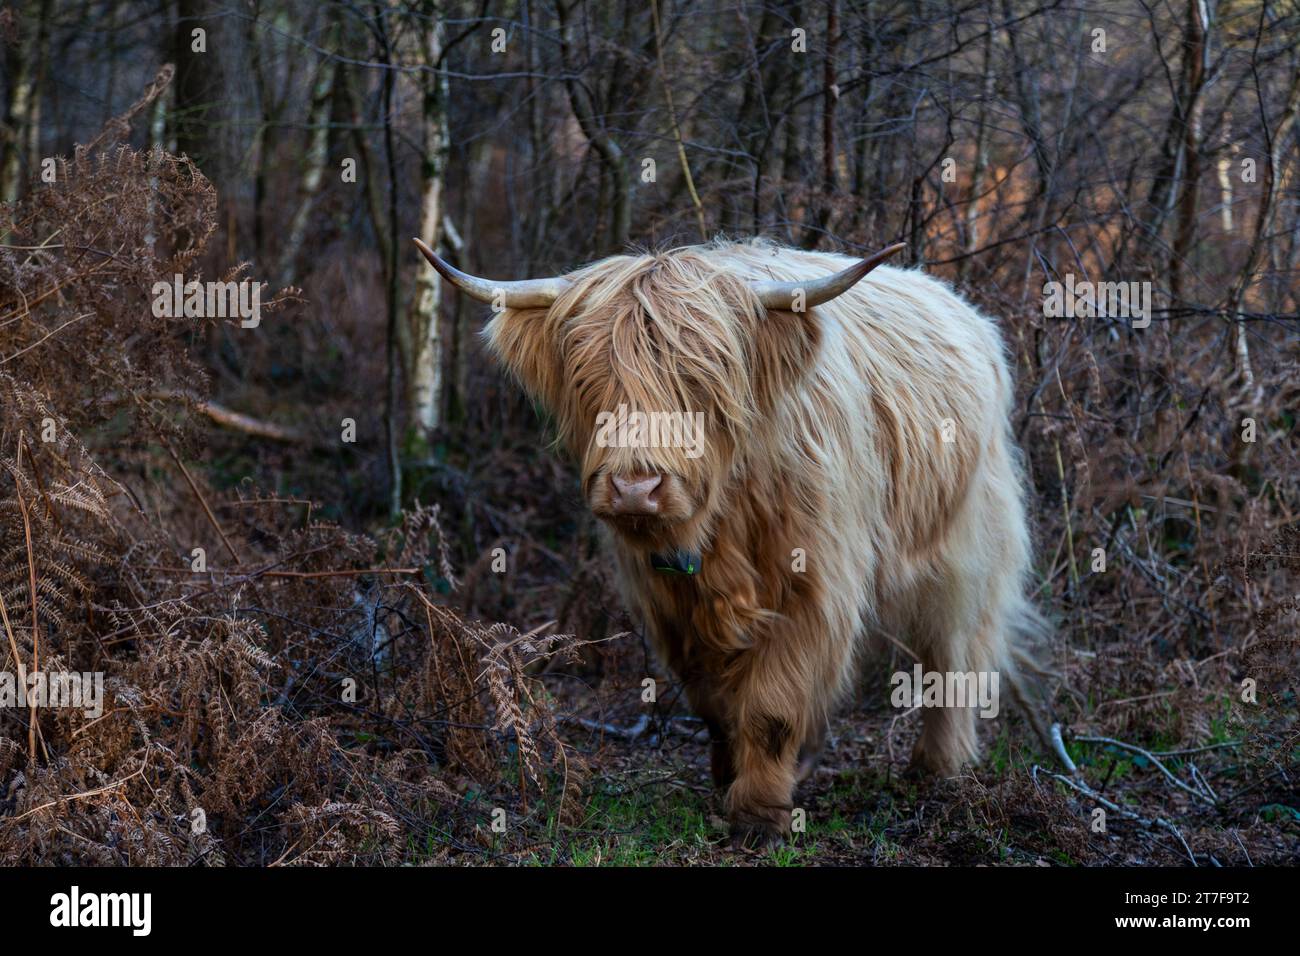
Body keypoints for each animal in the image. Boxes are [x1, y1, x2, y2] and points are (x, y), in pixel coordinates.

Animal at [415, 236, 1046, 847]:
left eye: (698, 379)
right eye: (587, 376)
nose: (634, 488)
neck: (722, 521)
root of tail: (970, 316)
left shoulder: (811, 583)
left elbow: (774, 705)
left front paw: (758, 816)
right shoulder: (664, 599)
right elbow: (712, 698)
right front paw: (726, 775)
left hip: (967, 547)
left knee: (954, 652)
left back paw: (938, 767)